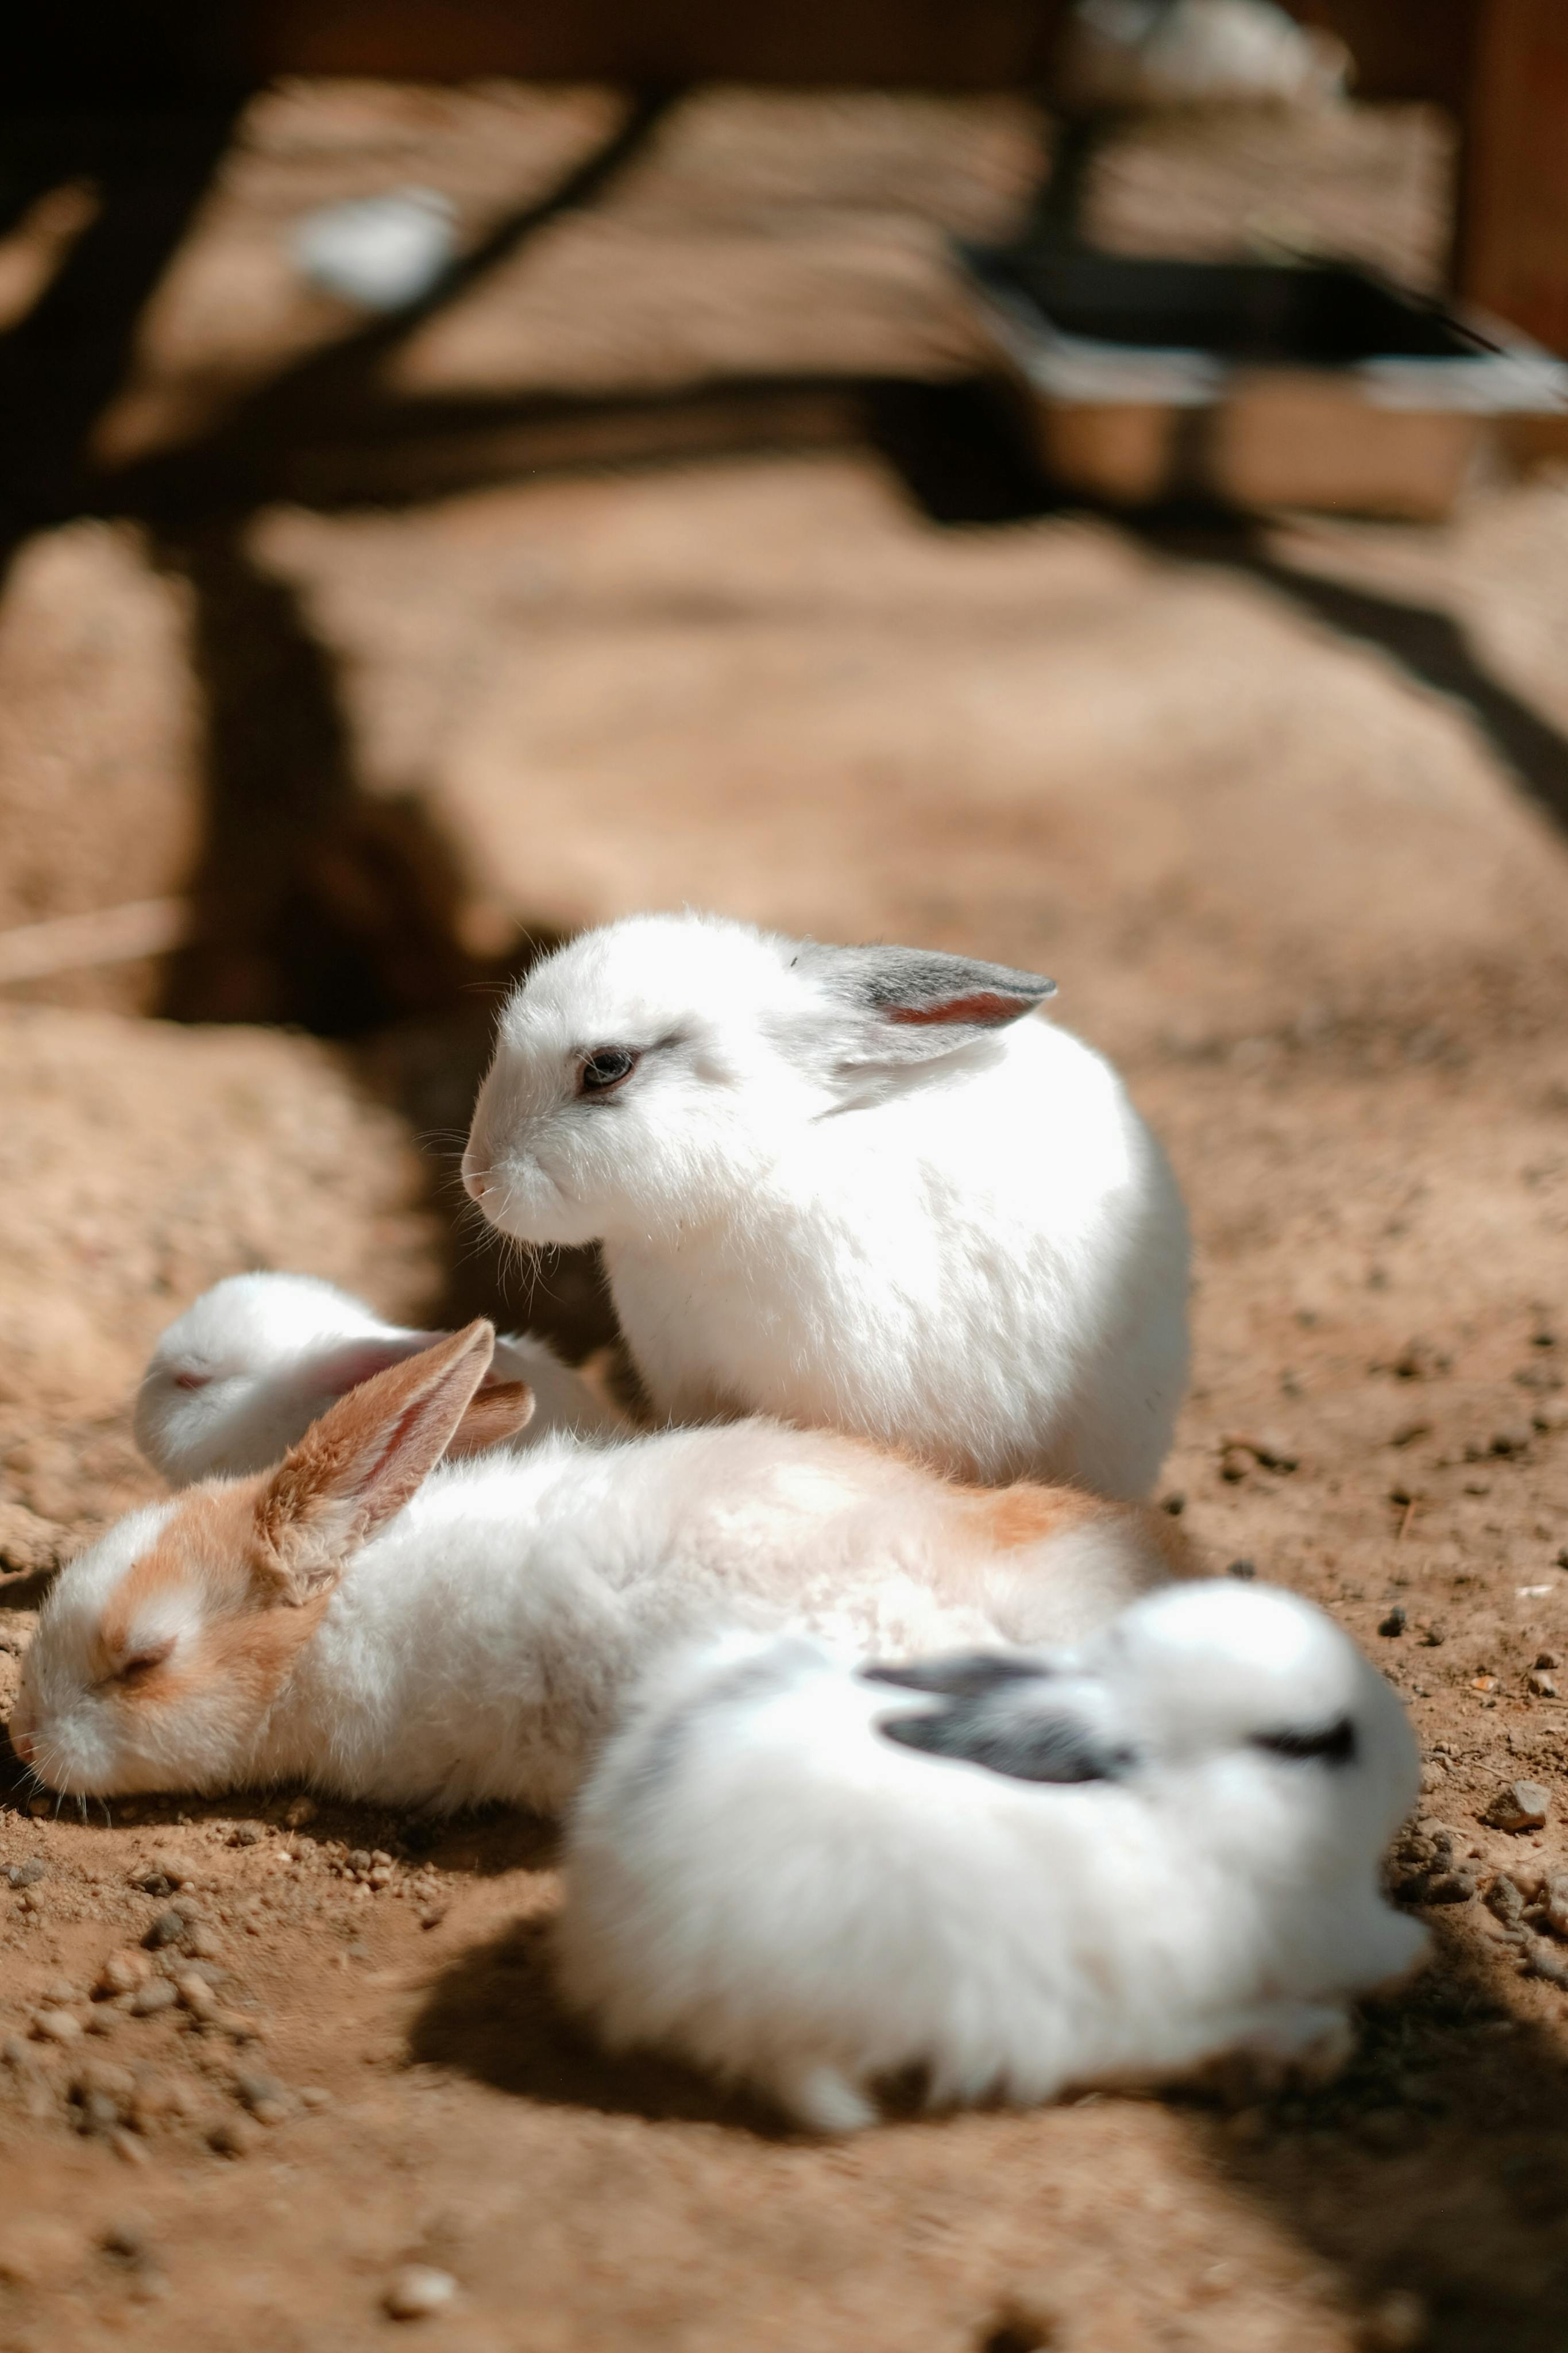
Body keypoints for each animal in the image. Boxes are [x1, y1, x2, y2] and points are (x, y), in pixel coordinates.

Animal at [556, 1580, 1427, 2132]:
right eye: (1302, 1744)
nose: (1406, 1763)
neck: (1183, 1810)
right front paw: (1411, 1958)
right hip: (1000, 1987)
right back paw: (1300, 2043)